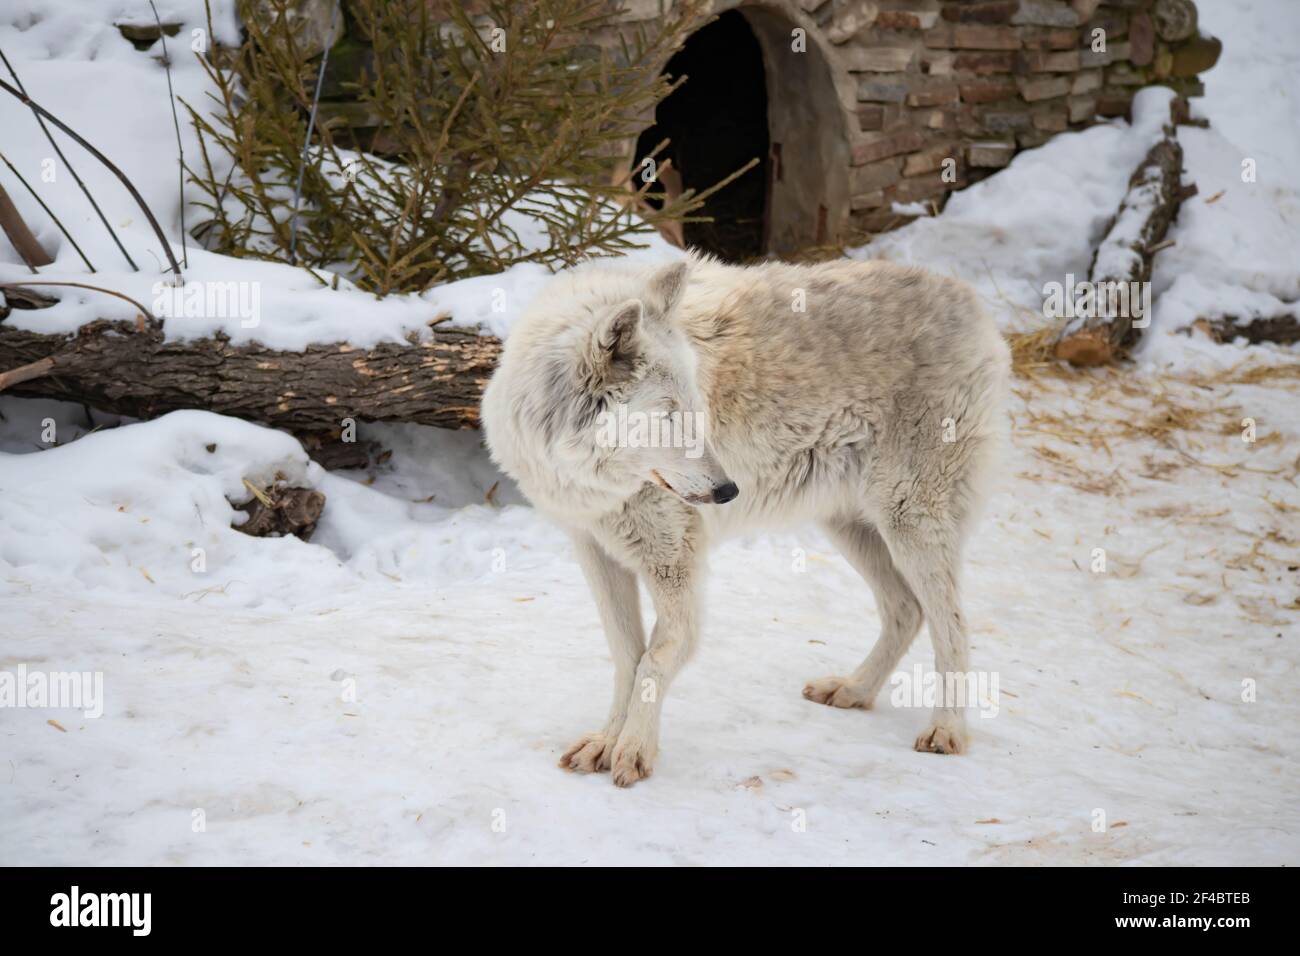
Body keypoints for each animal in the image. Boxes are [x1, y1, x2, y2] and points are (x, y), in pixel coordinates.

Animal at [481, 253, 1010, 787]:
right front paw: (606, 743)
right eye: (668, 416)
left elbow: (656, 658)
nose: (727, 491)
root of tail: (969, 300)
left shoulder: (674, 563)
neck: (590, 475)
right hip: (852, 528)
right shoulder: (594, 548)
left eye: (696, 409)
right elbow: (627, 656)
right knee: (906, 610)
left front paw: (633, 751)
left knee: (953, 625)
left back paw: (946, 731)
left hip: (910, 522)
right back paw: (854, 691)